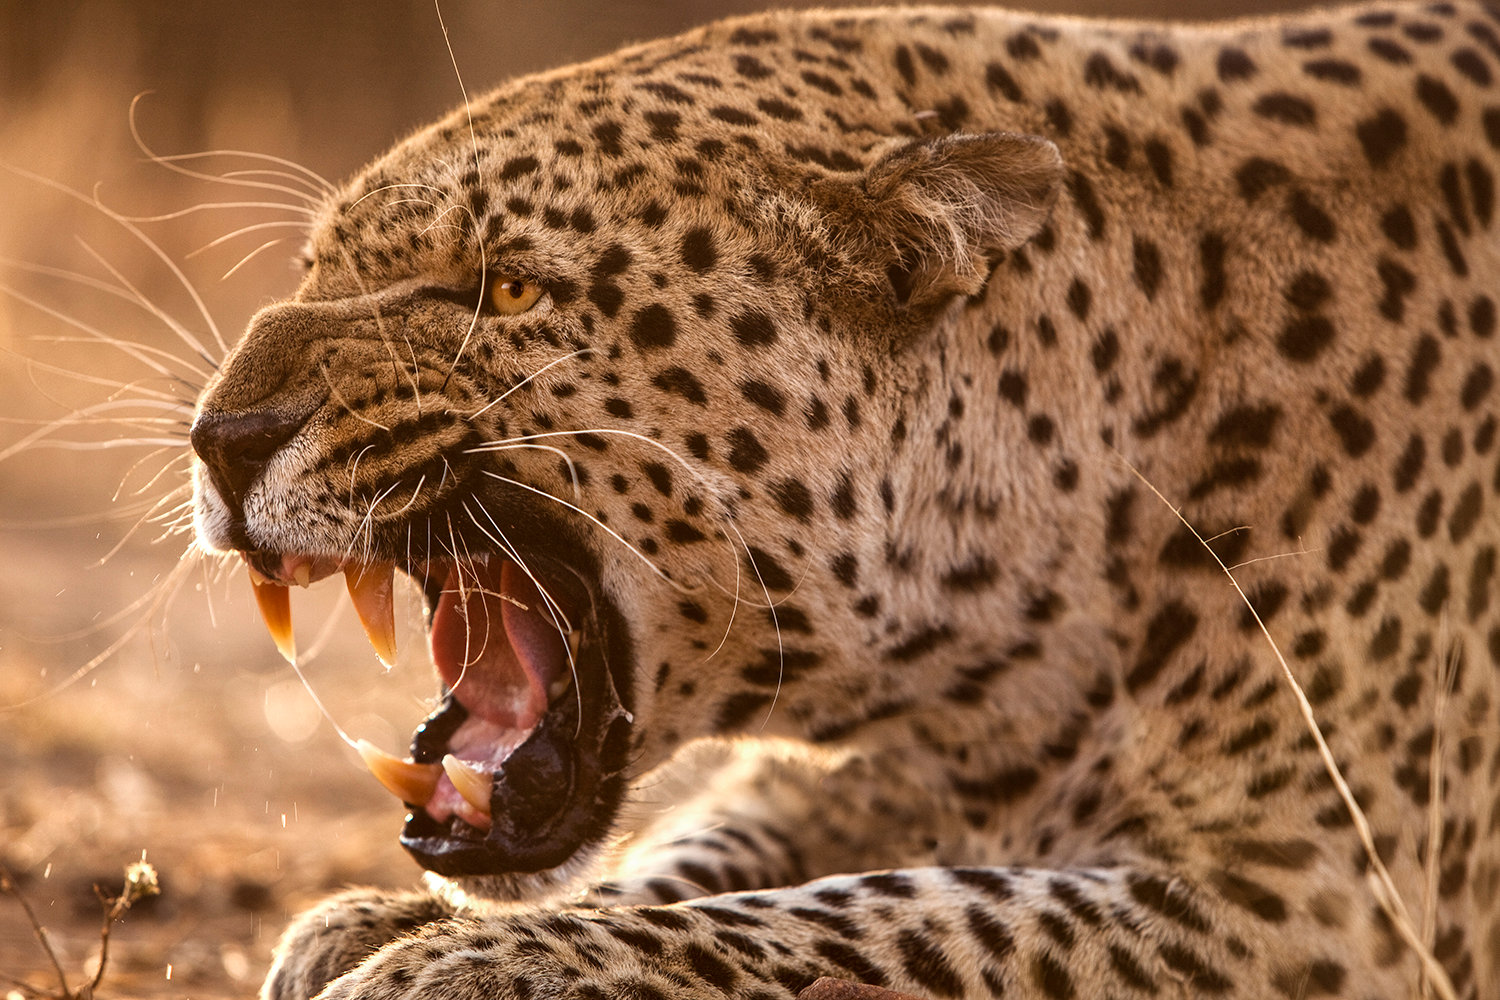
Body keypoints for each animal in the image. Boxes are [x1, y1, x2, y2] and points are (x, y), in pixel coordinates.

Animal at [184, 1, 1500, 998]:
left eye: (507, 290)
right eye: (315, 268)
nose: (221, 439)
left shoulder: (1318, 902)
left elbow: (891, 912)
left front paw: (467, 961)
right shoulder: (878, 770)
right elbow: (702, 852)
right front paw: (383, 923)